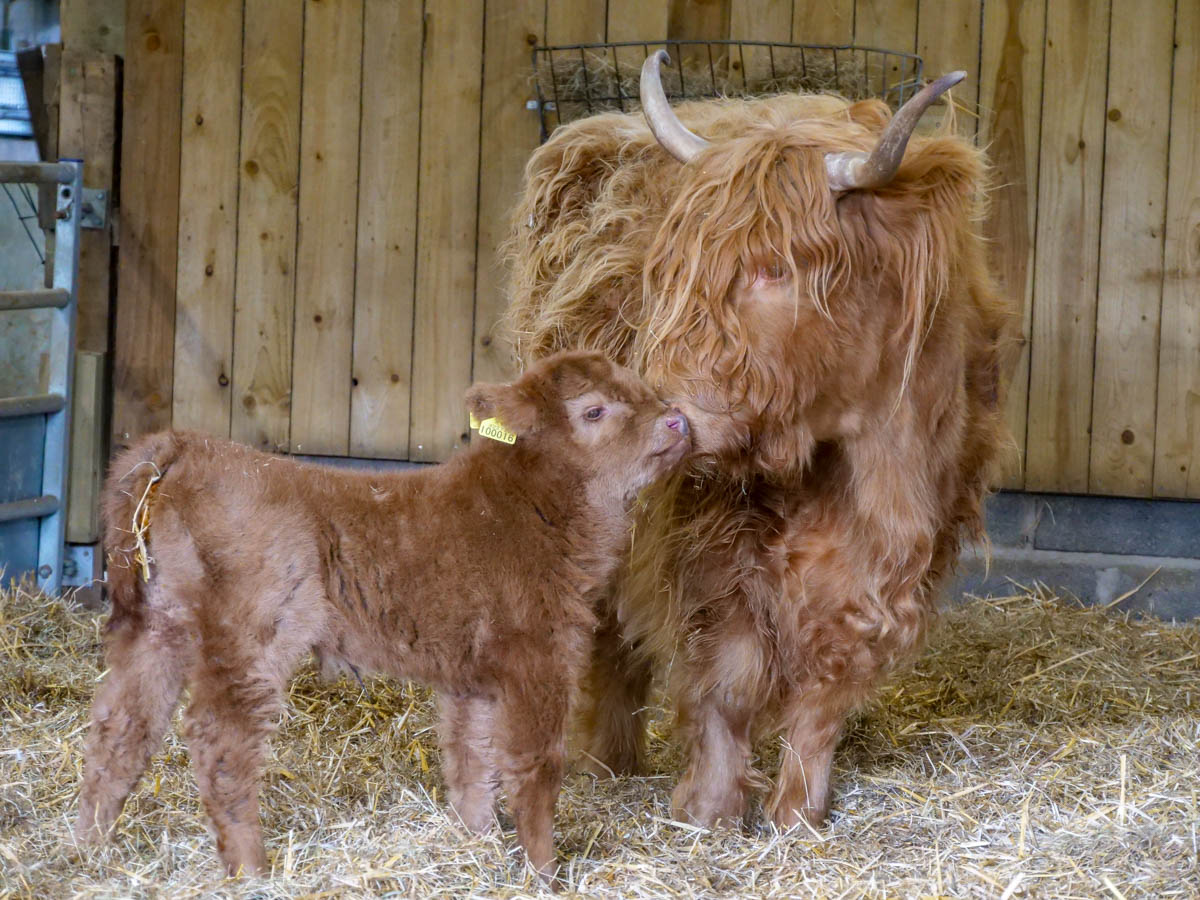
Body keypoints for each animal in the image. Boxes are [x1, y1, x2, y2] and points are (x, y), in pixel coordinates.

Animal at [73, 350, 691, 882]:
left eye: (643, 390)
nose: (679, 421)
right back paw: (251, 869)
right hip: (250, 635)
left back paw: (90, 848)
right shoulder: (537, 657)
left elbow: (472, 761)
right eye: (594, 410)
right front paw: (543, 871)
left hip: (160, 624)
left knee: (121, 726)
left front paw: (474, 844)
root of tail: (187, 445)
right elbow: (536, 767)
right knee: (219, 741)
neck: (527, 506)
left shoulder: (474, 679)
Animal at [504, 51, 1017, 831]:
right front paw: (709, 808)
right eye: (670, 270)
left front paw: (798, 813)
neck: (853, 456)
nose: (666, 413)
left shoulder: (896, 561)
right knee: (606, 636)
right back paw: (607, 762)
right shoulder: (712, 541)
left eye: (774, 267)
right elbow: (732, 674)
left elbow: (828, 690)